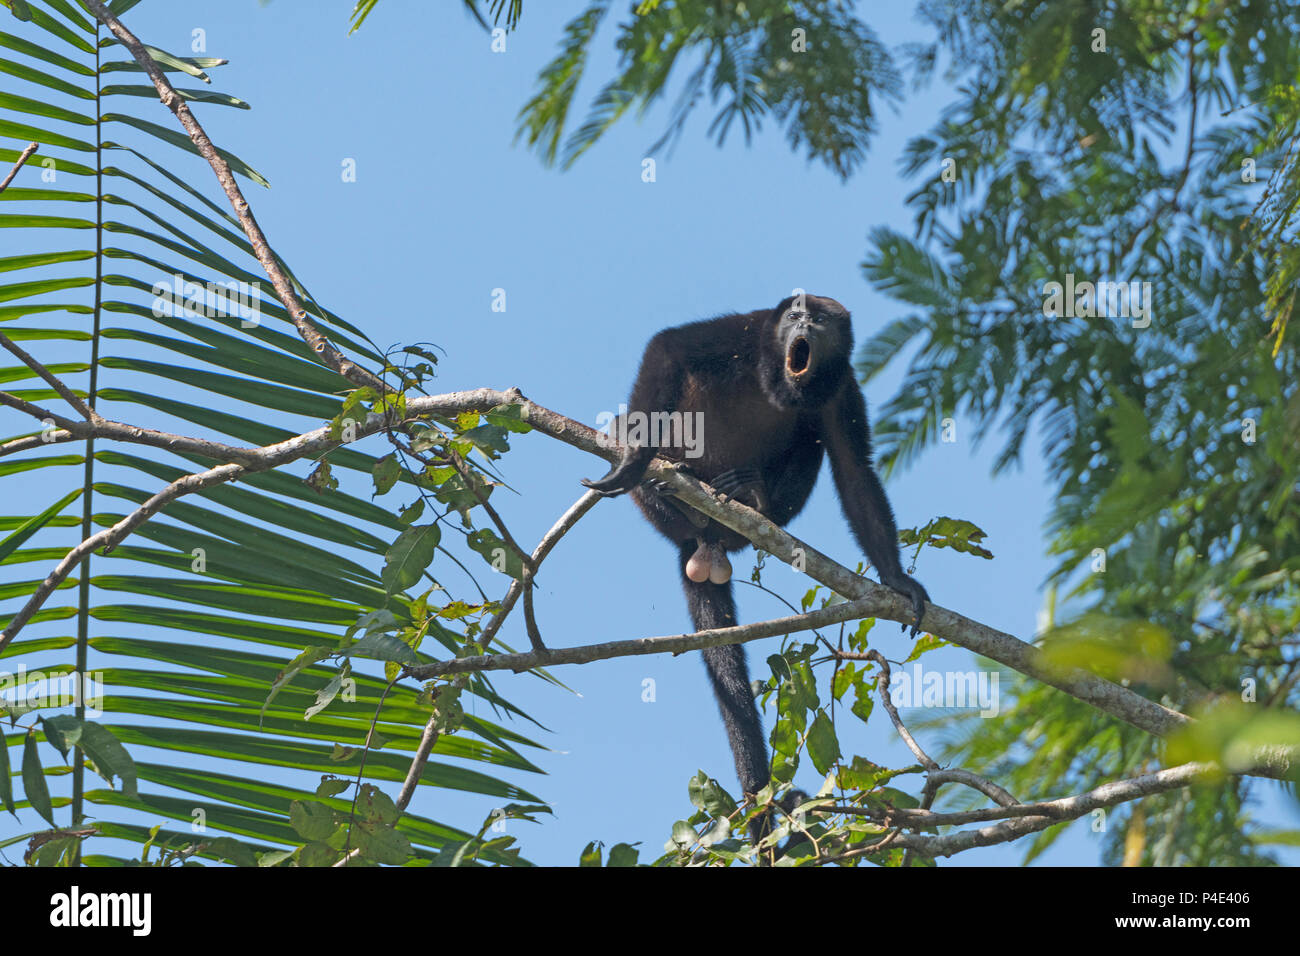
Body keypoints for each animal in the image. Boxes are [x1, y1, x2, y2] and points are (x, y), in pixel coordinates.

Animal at [582, 293, 929, 834]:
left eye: (821, 319)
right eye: (794, 315)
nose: (805, 323)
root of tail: (706, 542)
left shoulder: (842, 388)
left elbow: (855, 471)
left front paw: (896, 579)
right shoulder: (745, 333)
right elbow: (669, 347)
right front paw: (634, 459)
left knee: (811, 441)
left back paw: (757, 501)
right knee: (628, 425)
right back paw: (669, 491)